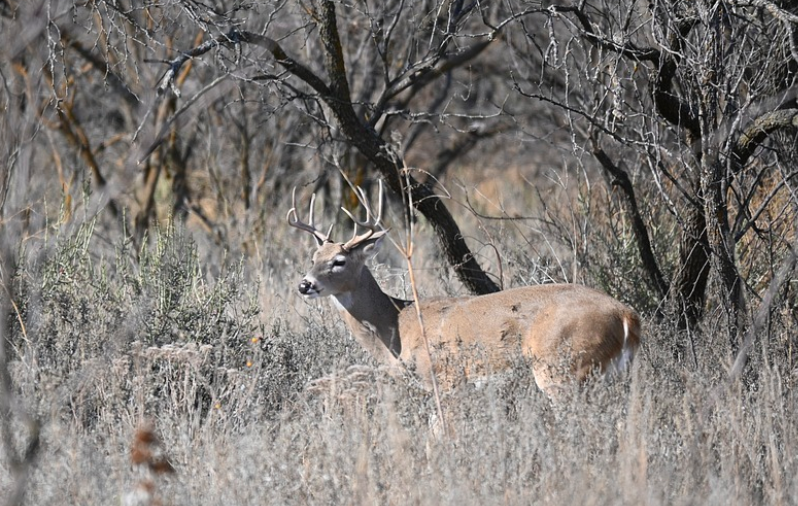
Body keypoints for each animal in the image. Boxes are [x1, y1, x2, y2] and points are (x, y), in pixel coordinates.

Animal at [288, 182, 641, 396]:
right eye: (313, 257)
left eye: (339, 261)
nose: (305, 284)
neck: (399, 325)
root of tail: (627, 316)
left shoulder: (445, 379)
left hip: (562, 367)